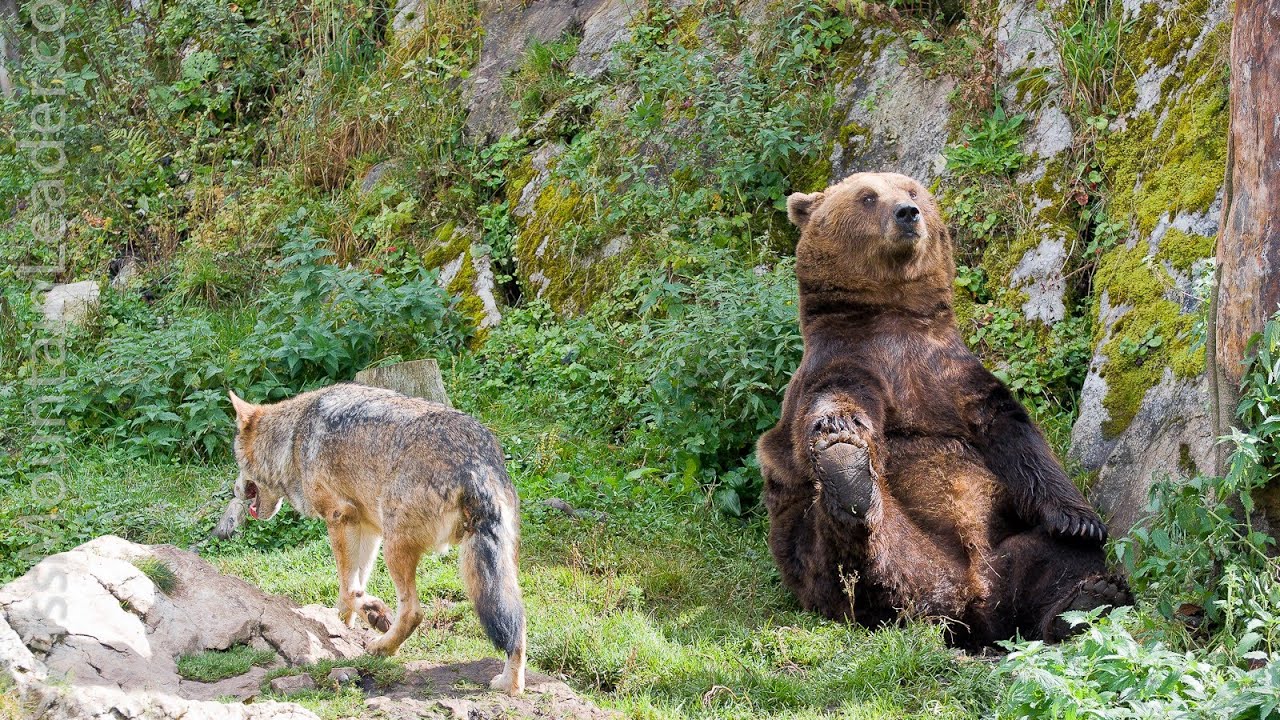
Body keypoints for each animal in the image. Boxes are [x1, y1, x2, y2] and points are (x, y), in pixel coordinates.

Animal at [212, 383, 527, 694]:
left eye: (237, 462)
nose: (235, 490)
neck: (293, 440)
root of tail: (475, 464)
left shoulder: (340, 518)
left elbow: (348, 587)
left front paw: (372, 614)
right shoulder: (366, 528)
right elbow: (352, 588)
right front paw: (345, 621)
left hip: (395, 548)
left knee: (413, 612)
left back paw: (382, 648)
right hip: (494, 567)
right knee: (517, 620)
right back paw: (510, 684)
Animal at [757, 171, 1129, 649]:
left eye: (912, 191)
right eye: (867, 196)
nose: (907, 213)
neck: (892, 317)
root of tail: (972, 599)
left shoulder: (952, 375)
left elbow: (1018, 438)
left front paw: (1079, 521)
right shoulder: (851, 363)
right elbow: (833, 403)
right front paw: (841, 435)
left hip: (1011, 548)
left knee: (1058, 562)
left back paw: (1088, 599)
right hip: (875, 546)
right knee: (860, 565)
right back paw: (850, 482)